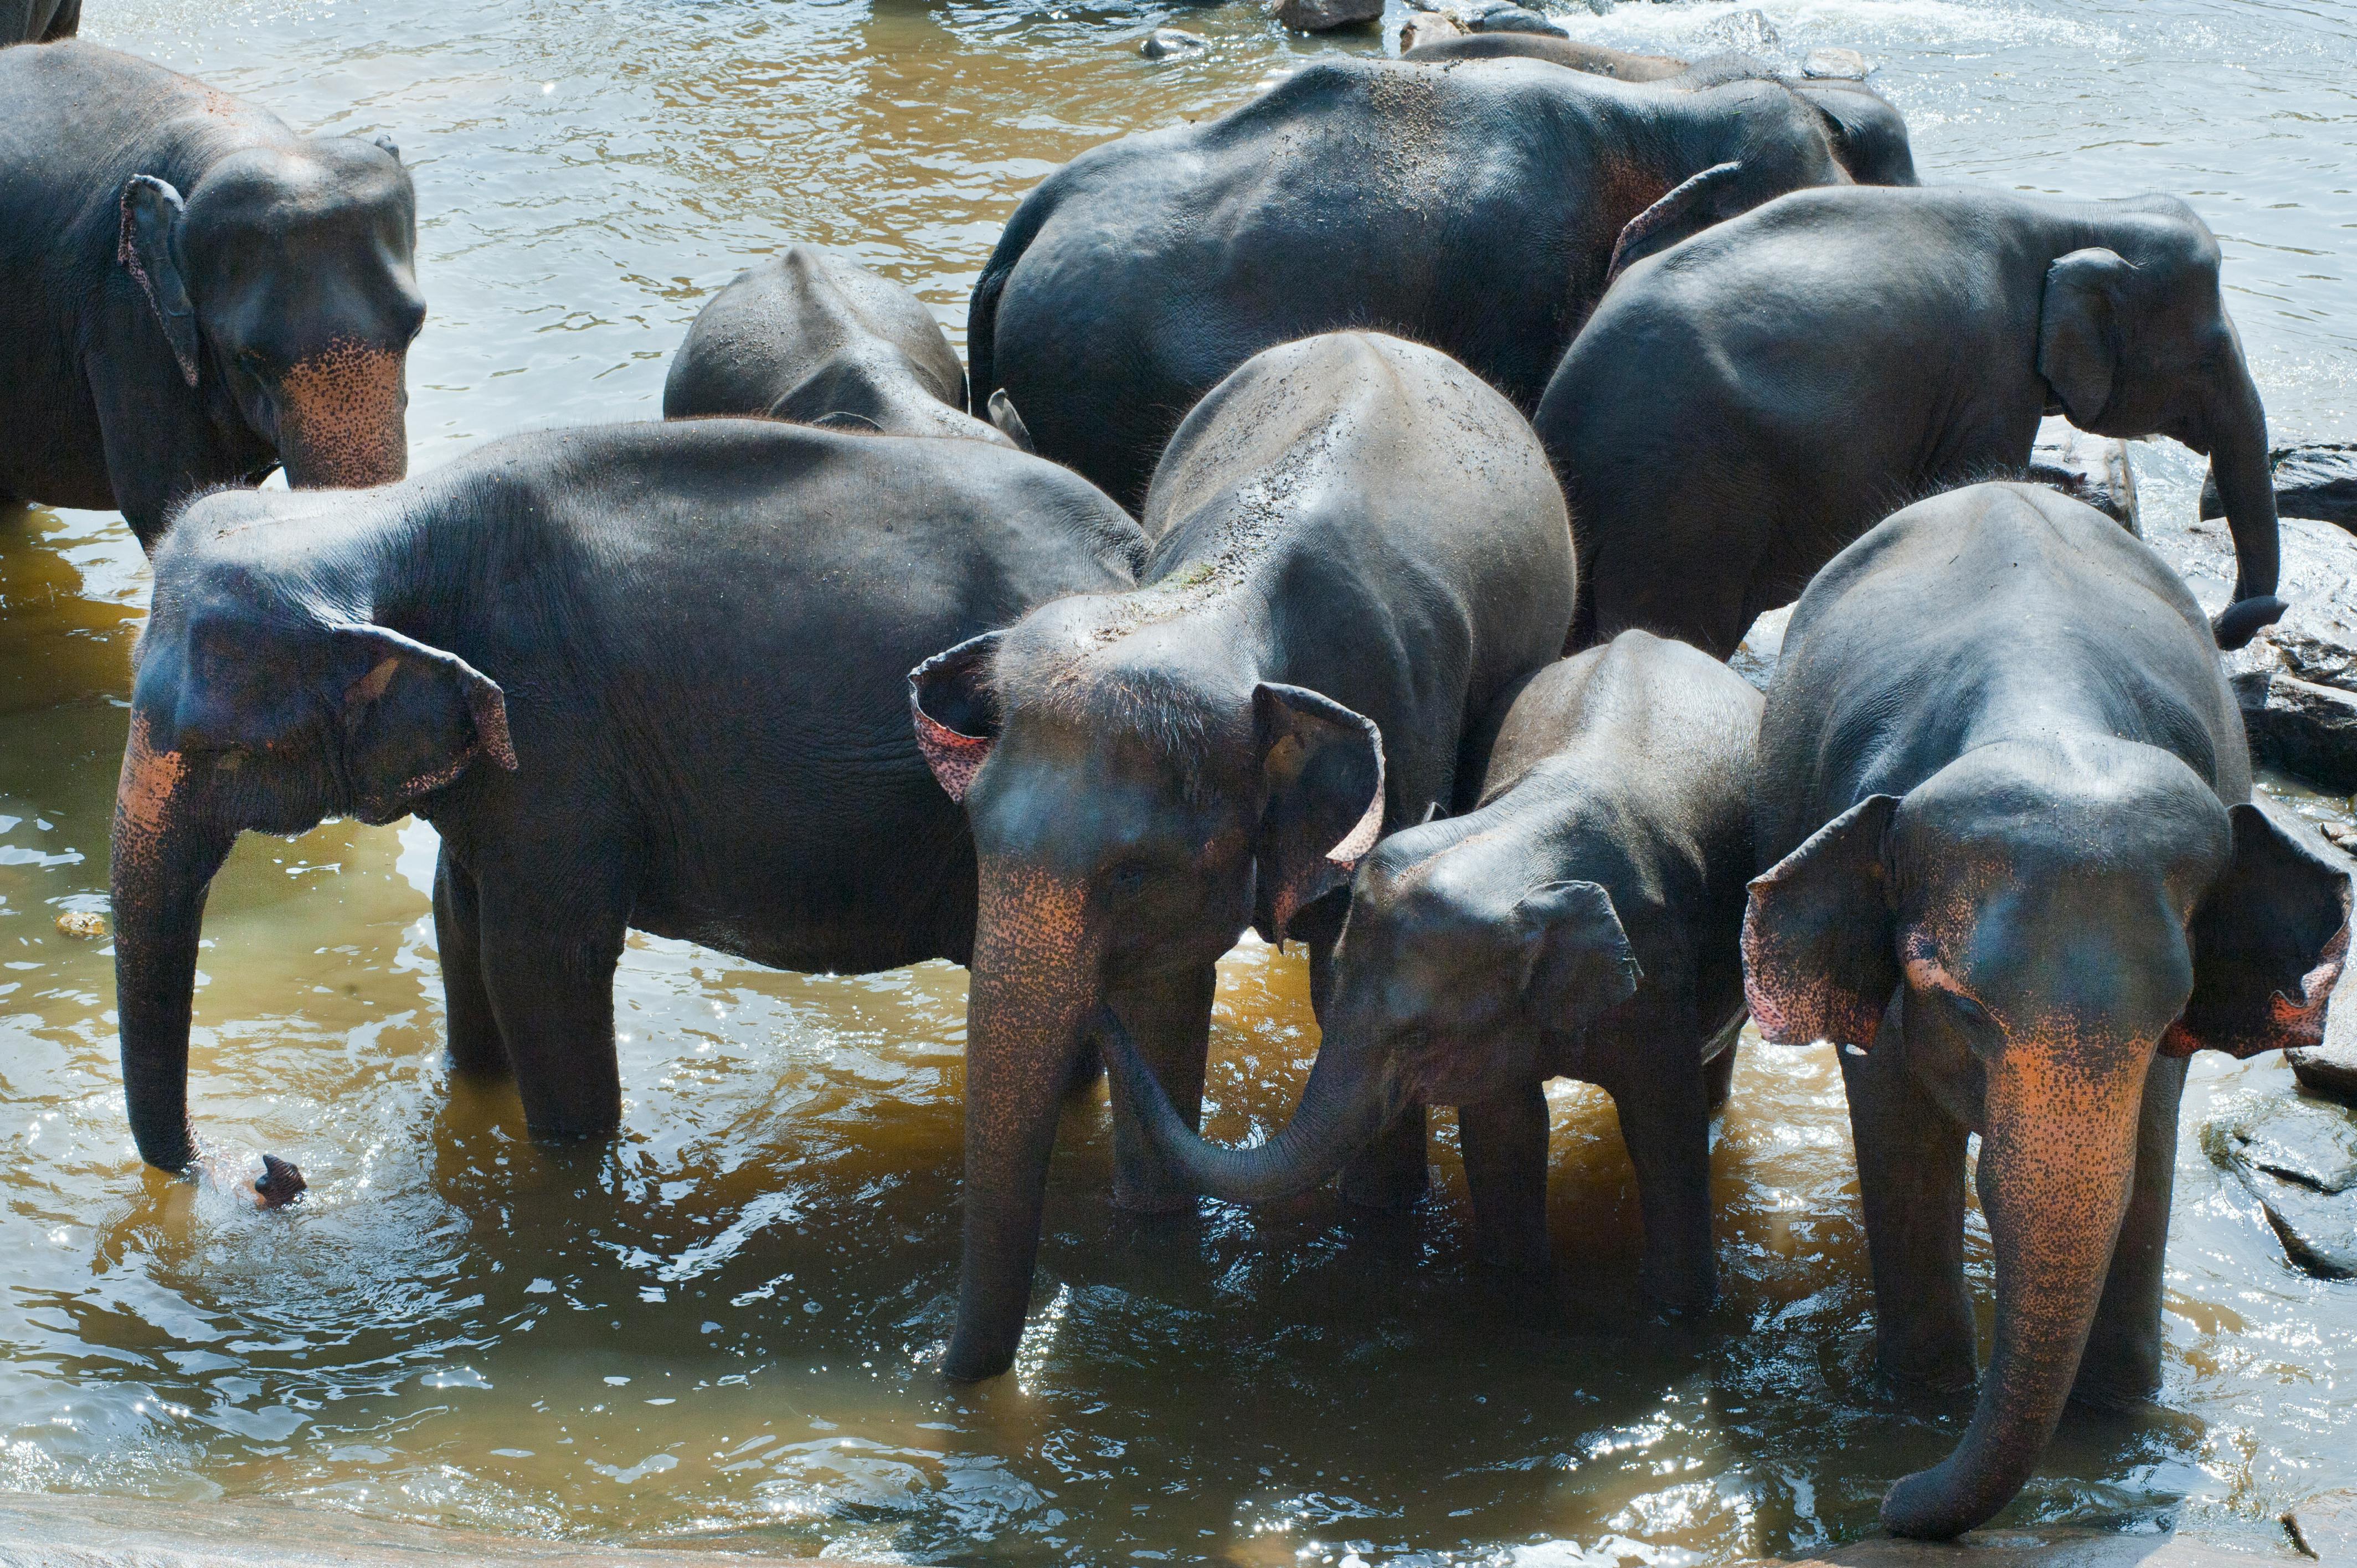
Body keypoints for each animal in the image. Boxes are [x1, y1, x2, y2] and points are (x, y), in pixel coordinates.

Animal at [110, 418, 1145, 1174]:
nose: (266, 1170)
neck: (382, 517)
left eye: (218, 751)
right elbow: (460, 918)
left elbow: (542, 960)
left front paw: (572, 1169)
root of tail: (1136, 552)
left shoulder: (557, 735)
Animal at [906, 332, 1577, 1379]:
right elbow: (1167, 997)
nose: (935, 1367)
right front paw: (1152, 1236)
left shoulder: (1403, 726)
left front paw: (1378, 1224)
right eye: (975, 836)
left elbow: (1344, 982)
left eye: (1132, 873)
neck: (1218, 605)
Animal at [1101, 630, 1760, 1313]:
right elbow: (1505, 1130)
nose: (1098, 1006)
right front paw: (1513, 1286)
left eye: (1419, 1038)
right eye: (1331, 990)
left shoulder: (1658, 974)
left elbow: (1665, 1132)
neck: (1515, 834)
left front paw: (1679, 1313)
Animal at [1534, 185, 2290, 659]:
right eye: (2209, 353)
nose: (2238, 615)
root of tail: (1560, 410)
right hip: (1684, 502)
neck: (2074, 215)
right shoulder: (1991, 380)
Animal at [1743, 481, 2350, 1539]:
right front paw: (1917, 1410)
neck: (2047, 709)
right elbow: (1897, 1135)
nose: (1890, 1500)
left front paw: (2115, 1417)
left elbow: (2147, 1157)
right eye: (1958, 1006)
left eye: (2175, 1008)